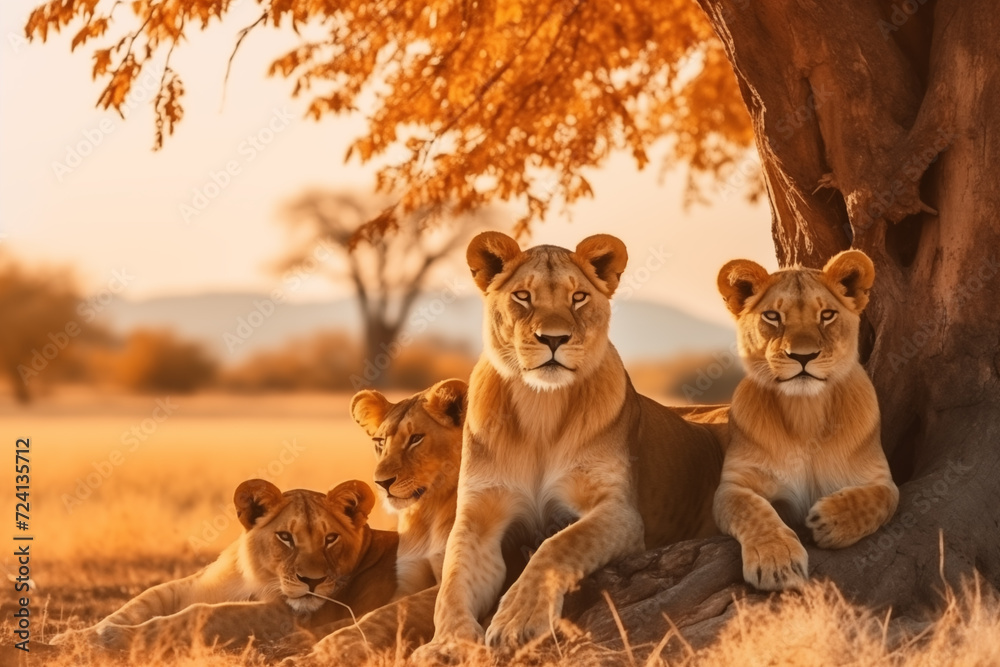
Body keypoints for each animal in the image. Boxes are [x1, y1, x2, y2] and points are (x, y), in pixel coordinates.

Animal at [52, 479, 398, 652]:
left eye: (331, 538)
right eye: (285, 537)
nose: (312, 581)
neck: (254, 576)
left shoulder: (286, 615)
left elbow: (202, 615)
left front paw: (108, 639)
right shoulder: (189, 585)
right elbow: (138, 604)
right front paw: (79, 636)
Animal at [408, 231, 726, 659]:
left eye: (578, 298)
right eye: (523, 296)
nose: (554, 339)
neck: (541, 406)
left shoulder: (620, 513)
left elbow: (559, 545)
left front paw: (517, 621)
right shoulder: (479, 520)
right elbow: (452, 583)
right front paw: (446, 645)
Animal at [713, 250, 899, 591]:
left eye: (827, 315)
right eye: (772, 316)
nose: (803, 356)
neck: (805, 413)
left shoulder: (882, 479)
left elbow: (882, 499)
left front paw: (830, 521)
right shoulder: (733, 485)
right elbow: (751, 509)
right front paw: (777, 562)